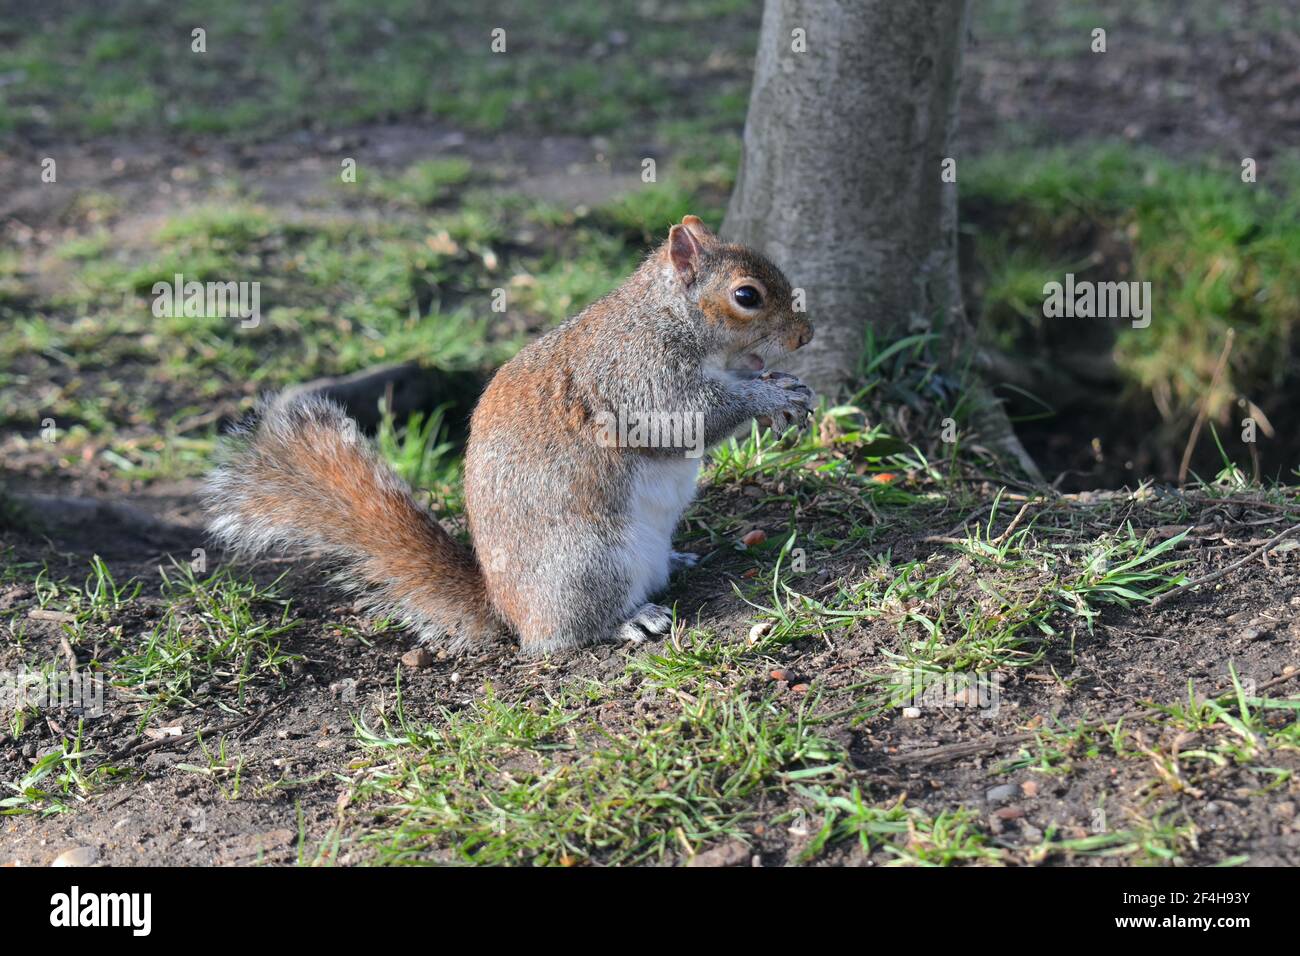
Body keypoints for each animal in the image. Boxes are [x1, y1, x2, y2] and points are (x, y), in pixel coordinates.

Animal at [203, 215, 814, 656]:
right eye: (747, 296)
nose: (807, 335)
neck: (668, 317)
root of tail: (505, 607)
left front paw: (787, 386)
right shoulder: (636, 372)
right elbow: (683, 417)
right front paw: (769, 398)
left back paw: (678, 562)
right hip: (589, 561)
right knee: (560, 635)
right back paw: (628, 620)